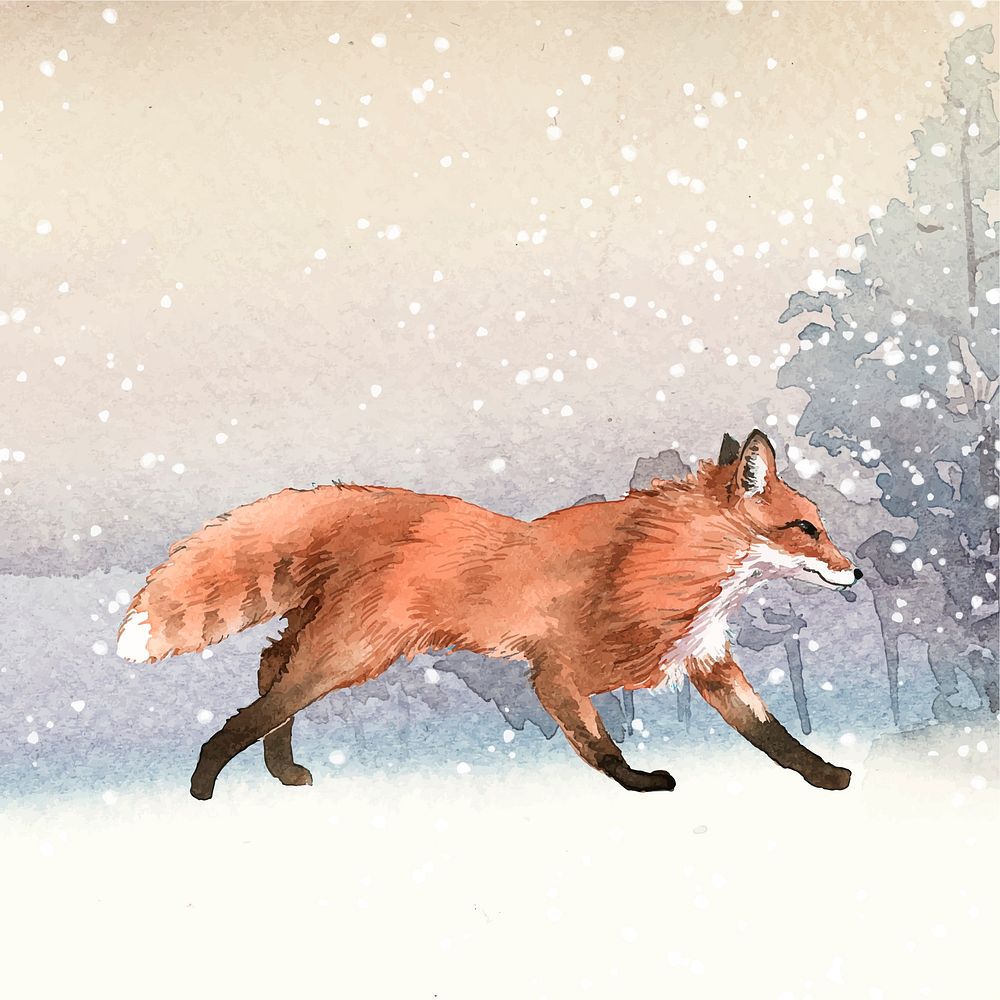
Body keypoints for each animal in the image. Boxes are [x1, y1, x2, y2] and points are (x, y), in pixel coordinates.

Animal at [117, 429, 861, 800]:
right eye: (807, 528)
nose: (856, 571)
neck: (671, 560)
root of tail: (382, 503)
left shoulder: (707, 661)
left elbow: (774, 736)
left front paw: (826, 775)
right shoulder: (558, 670)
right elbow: (600, 745)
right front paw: (639, 783)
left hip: (332, 644)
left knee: (269, 666)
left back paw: (280, 771)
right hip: (351, 653)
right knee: (264, 700)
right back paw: (205, 780)